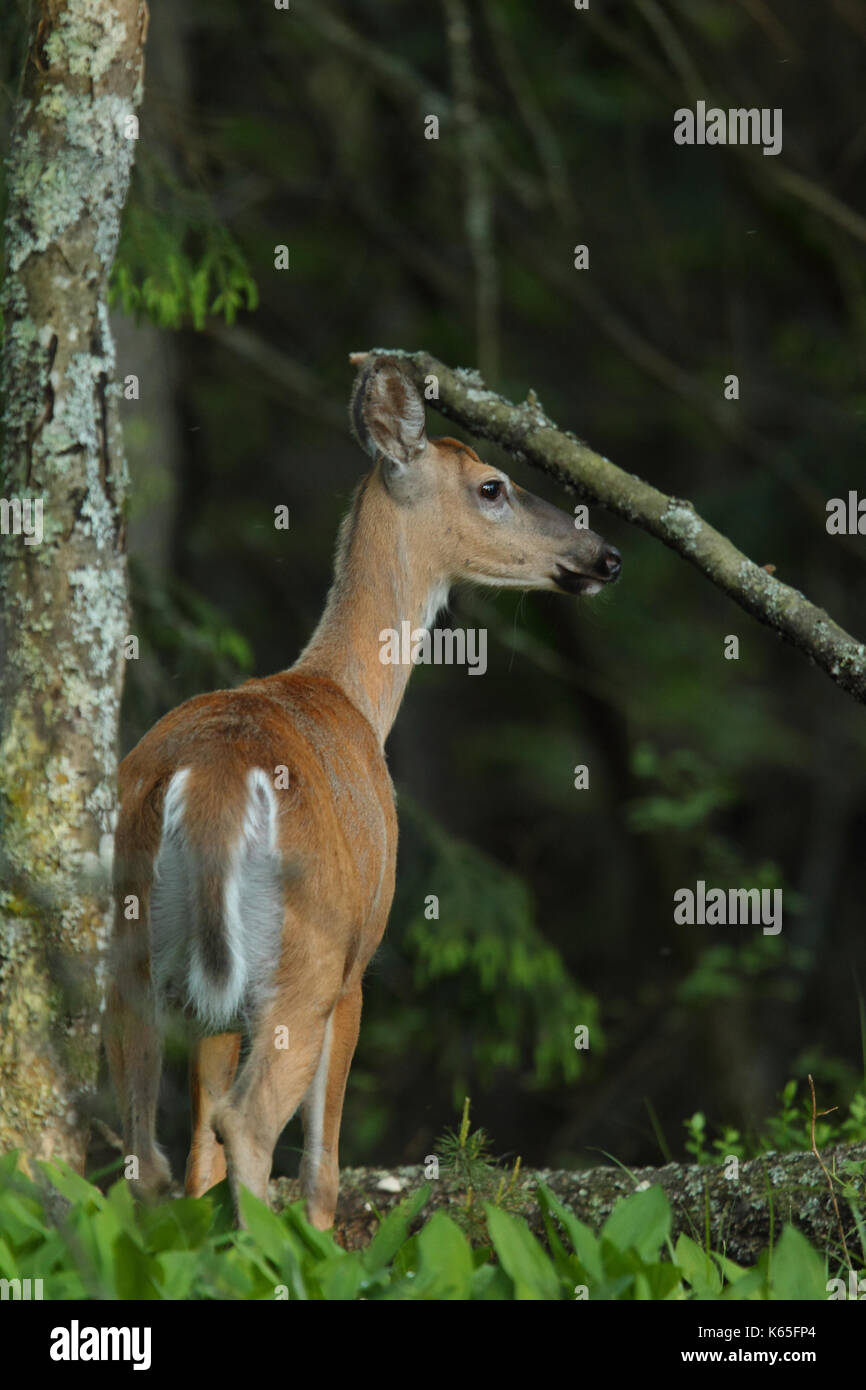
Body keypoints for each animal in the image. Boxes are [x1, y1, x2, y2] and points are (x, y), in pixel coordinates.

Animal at [105, 355, 621, 1231]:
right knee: (249, 1125)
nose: (604, 554)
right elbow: (323, 1165)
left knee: (151, 1154)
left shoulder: (213, 1008)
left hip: (135, 947)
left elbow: (199, 1157)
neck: (349, 695)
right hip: (305, 957)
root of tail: (207, 785)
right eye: (492, 486)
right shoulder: (359, 960)